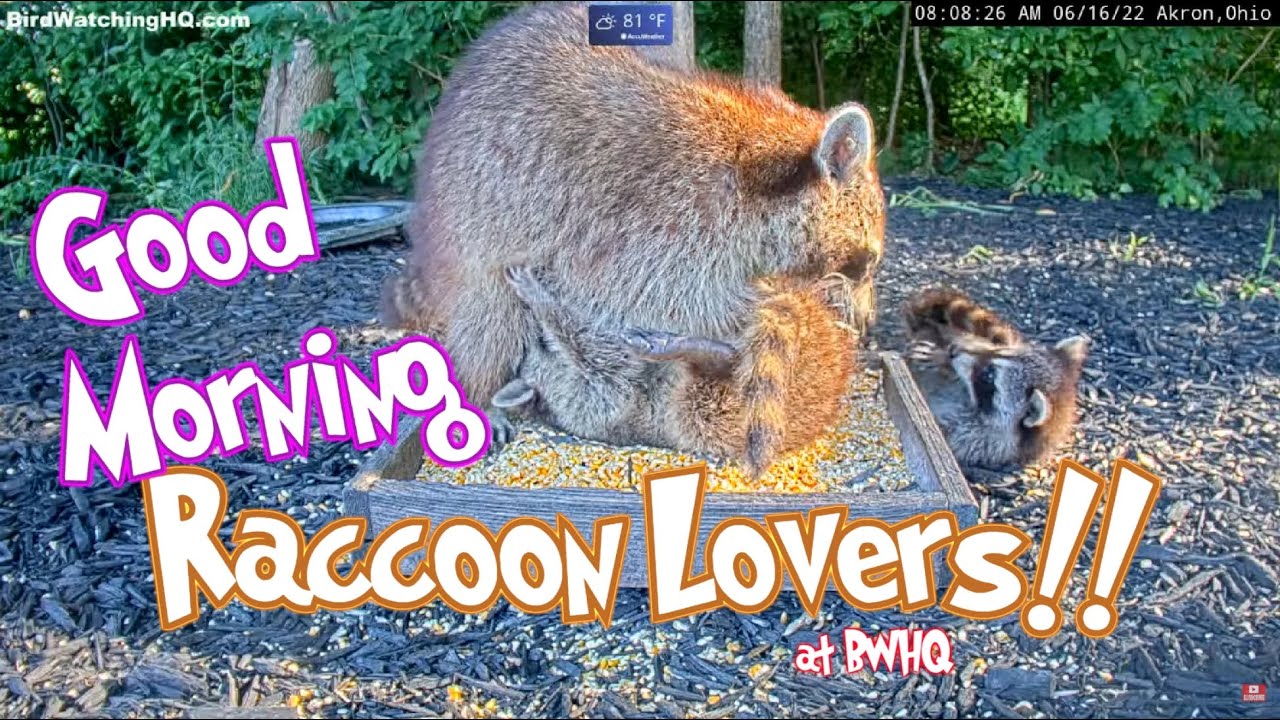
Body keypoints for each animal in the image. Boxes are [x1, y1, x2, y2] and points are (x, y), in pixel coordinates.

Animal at [381, 1, 886, 443]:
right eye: (867, 261)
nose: (867, 323)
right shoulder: (658, 227)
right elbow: (673, 302)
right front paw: (757, 315)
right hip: (475, 212)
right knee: (490, 309)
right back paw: (482, 389)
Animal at [491, 265, 858, 478]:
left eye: (537, 342)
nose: (533, 337)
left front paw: (539, 300)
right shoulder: (592, 392)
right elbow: (590, 350)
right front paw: (543, 303)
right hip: (720, 410)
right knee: (705, 395)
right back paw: (709, 353)